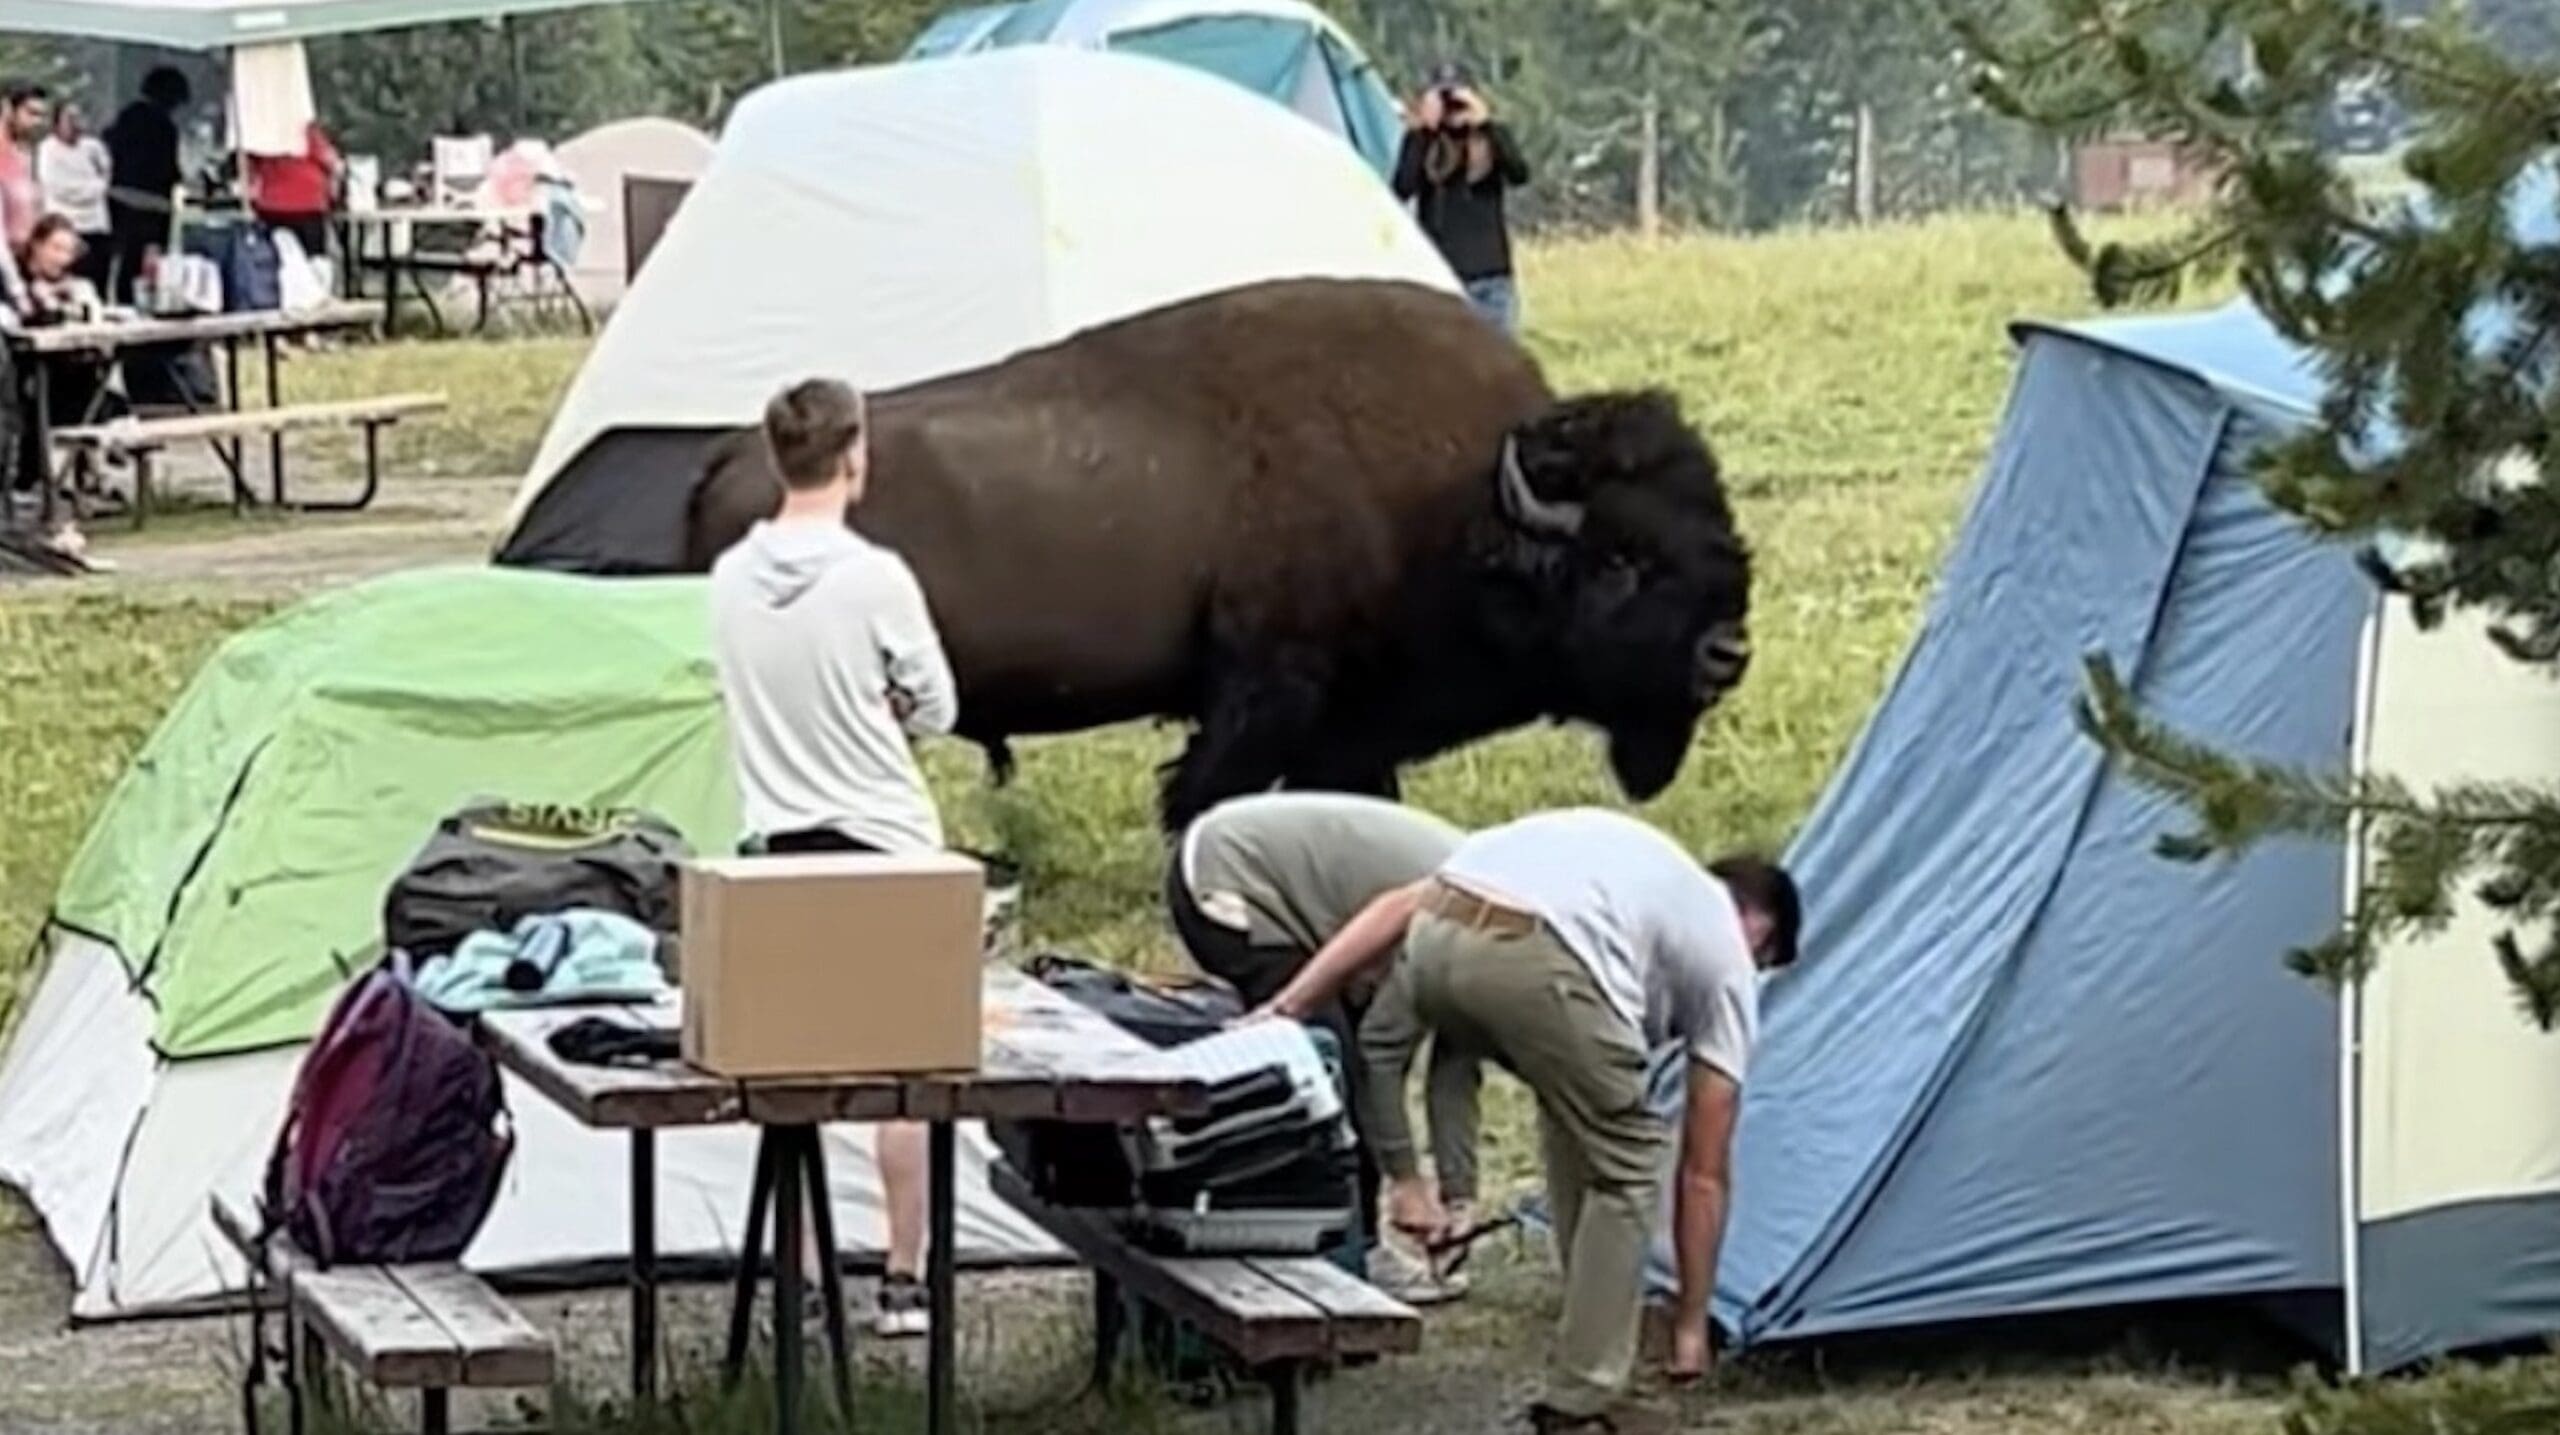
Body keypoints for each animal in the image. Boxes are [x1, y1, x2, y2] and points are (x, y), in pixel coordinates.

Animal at [683, 277, 1753, 831]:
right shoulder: (1264, 698)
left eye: (1722, 526)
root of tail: (732, 452)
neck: (1464, 502)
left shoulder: (1344, 731)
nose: (1728, 651)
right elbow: (1202, 797)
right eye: (1619, 559)